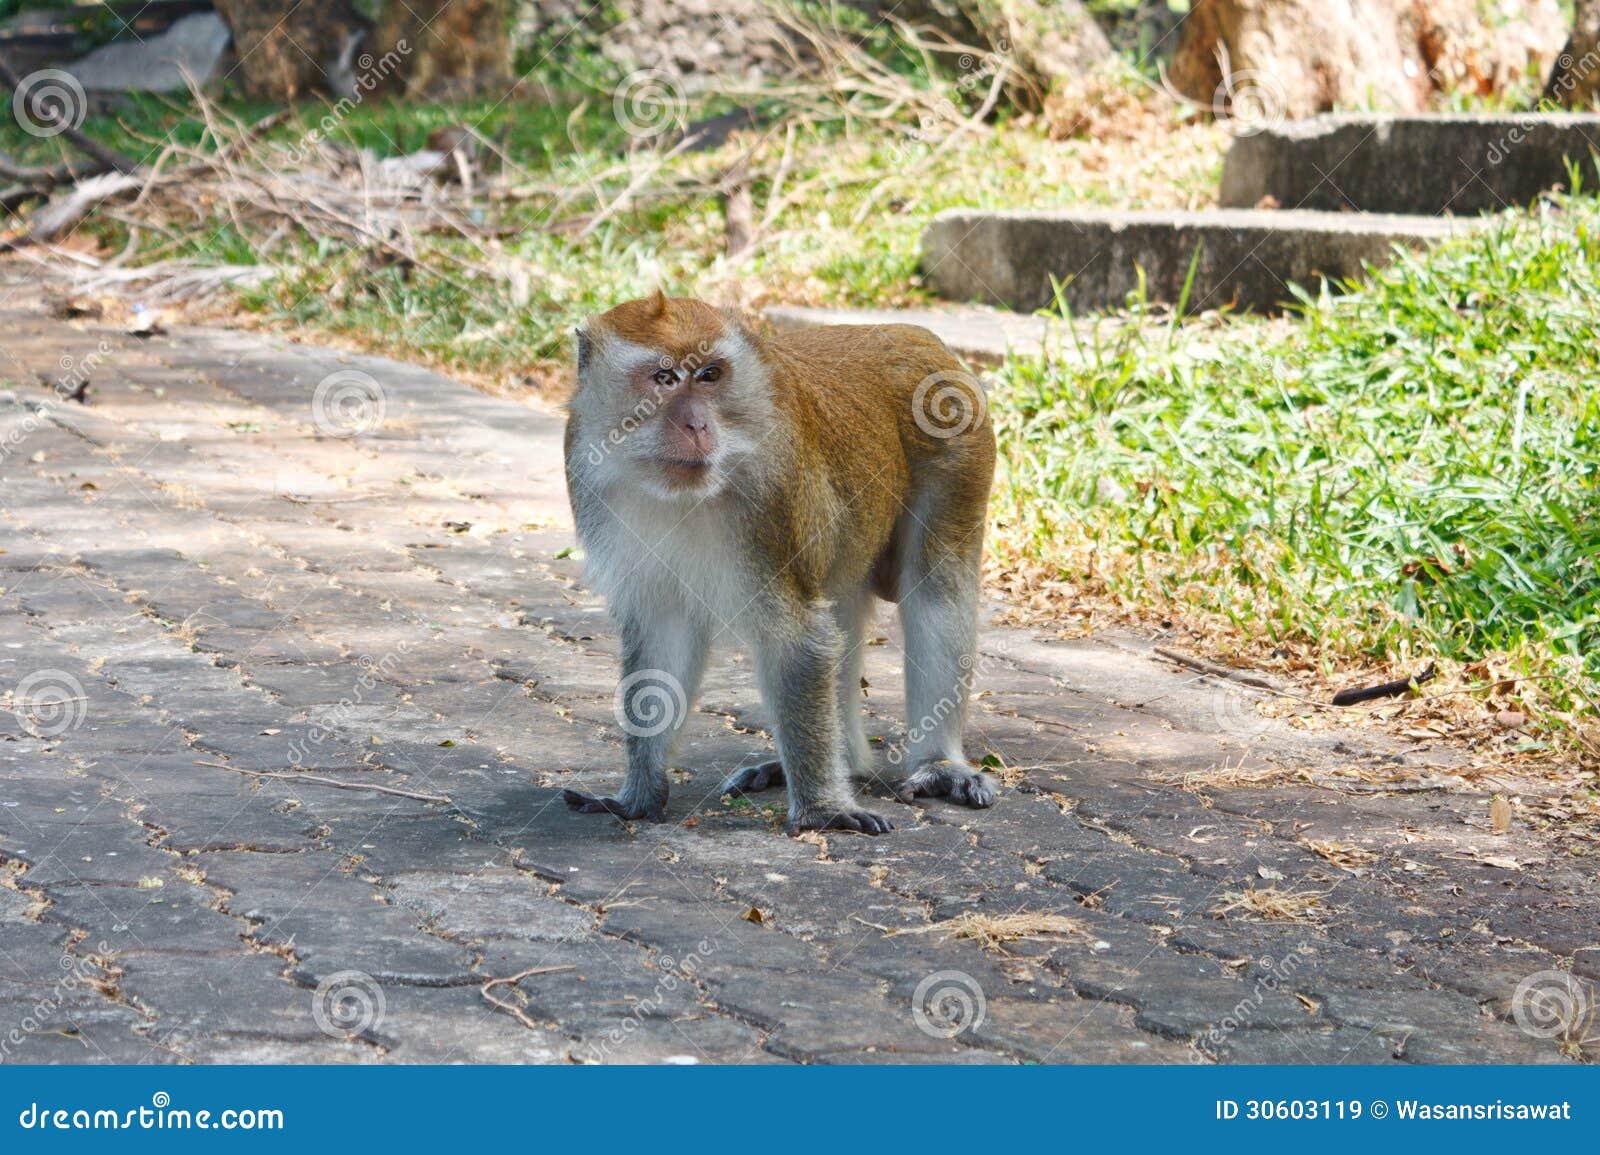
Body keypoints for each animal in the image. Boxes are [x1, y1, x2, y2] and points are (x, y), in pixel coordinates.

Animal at [561, 291, 997, 835]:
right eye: (663, 378)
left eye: (709, 375)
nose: (697, 424)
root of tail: (913, 333)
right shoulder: (590, 474)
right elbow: (664, 633)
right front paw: (638, 794)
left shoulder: (772, 496)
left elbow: (797, 638)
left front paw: (824, 809)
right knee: (840, 606)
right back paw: (845, 764)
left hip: (960, 448)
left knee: (937, 590)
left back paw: (937, 765)